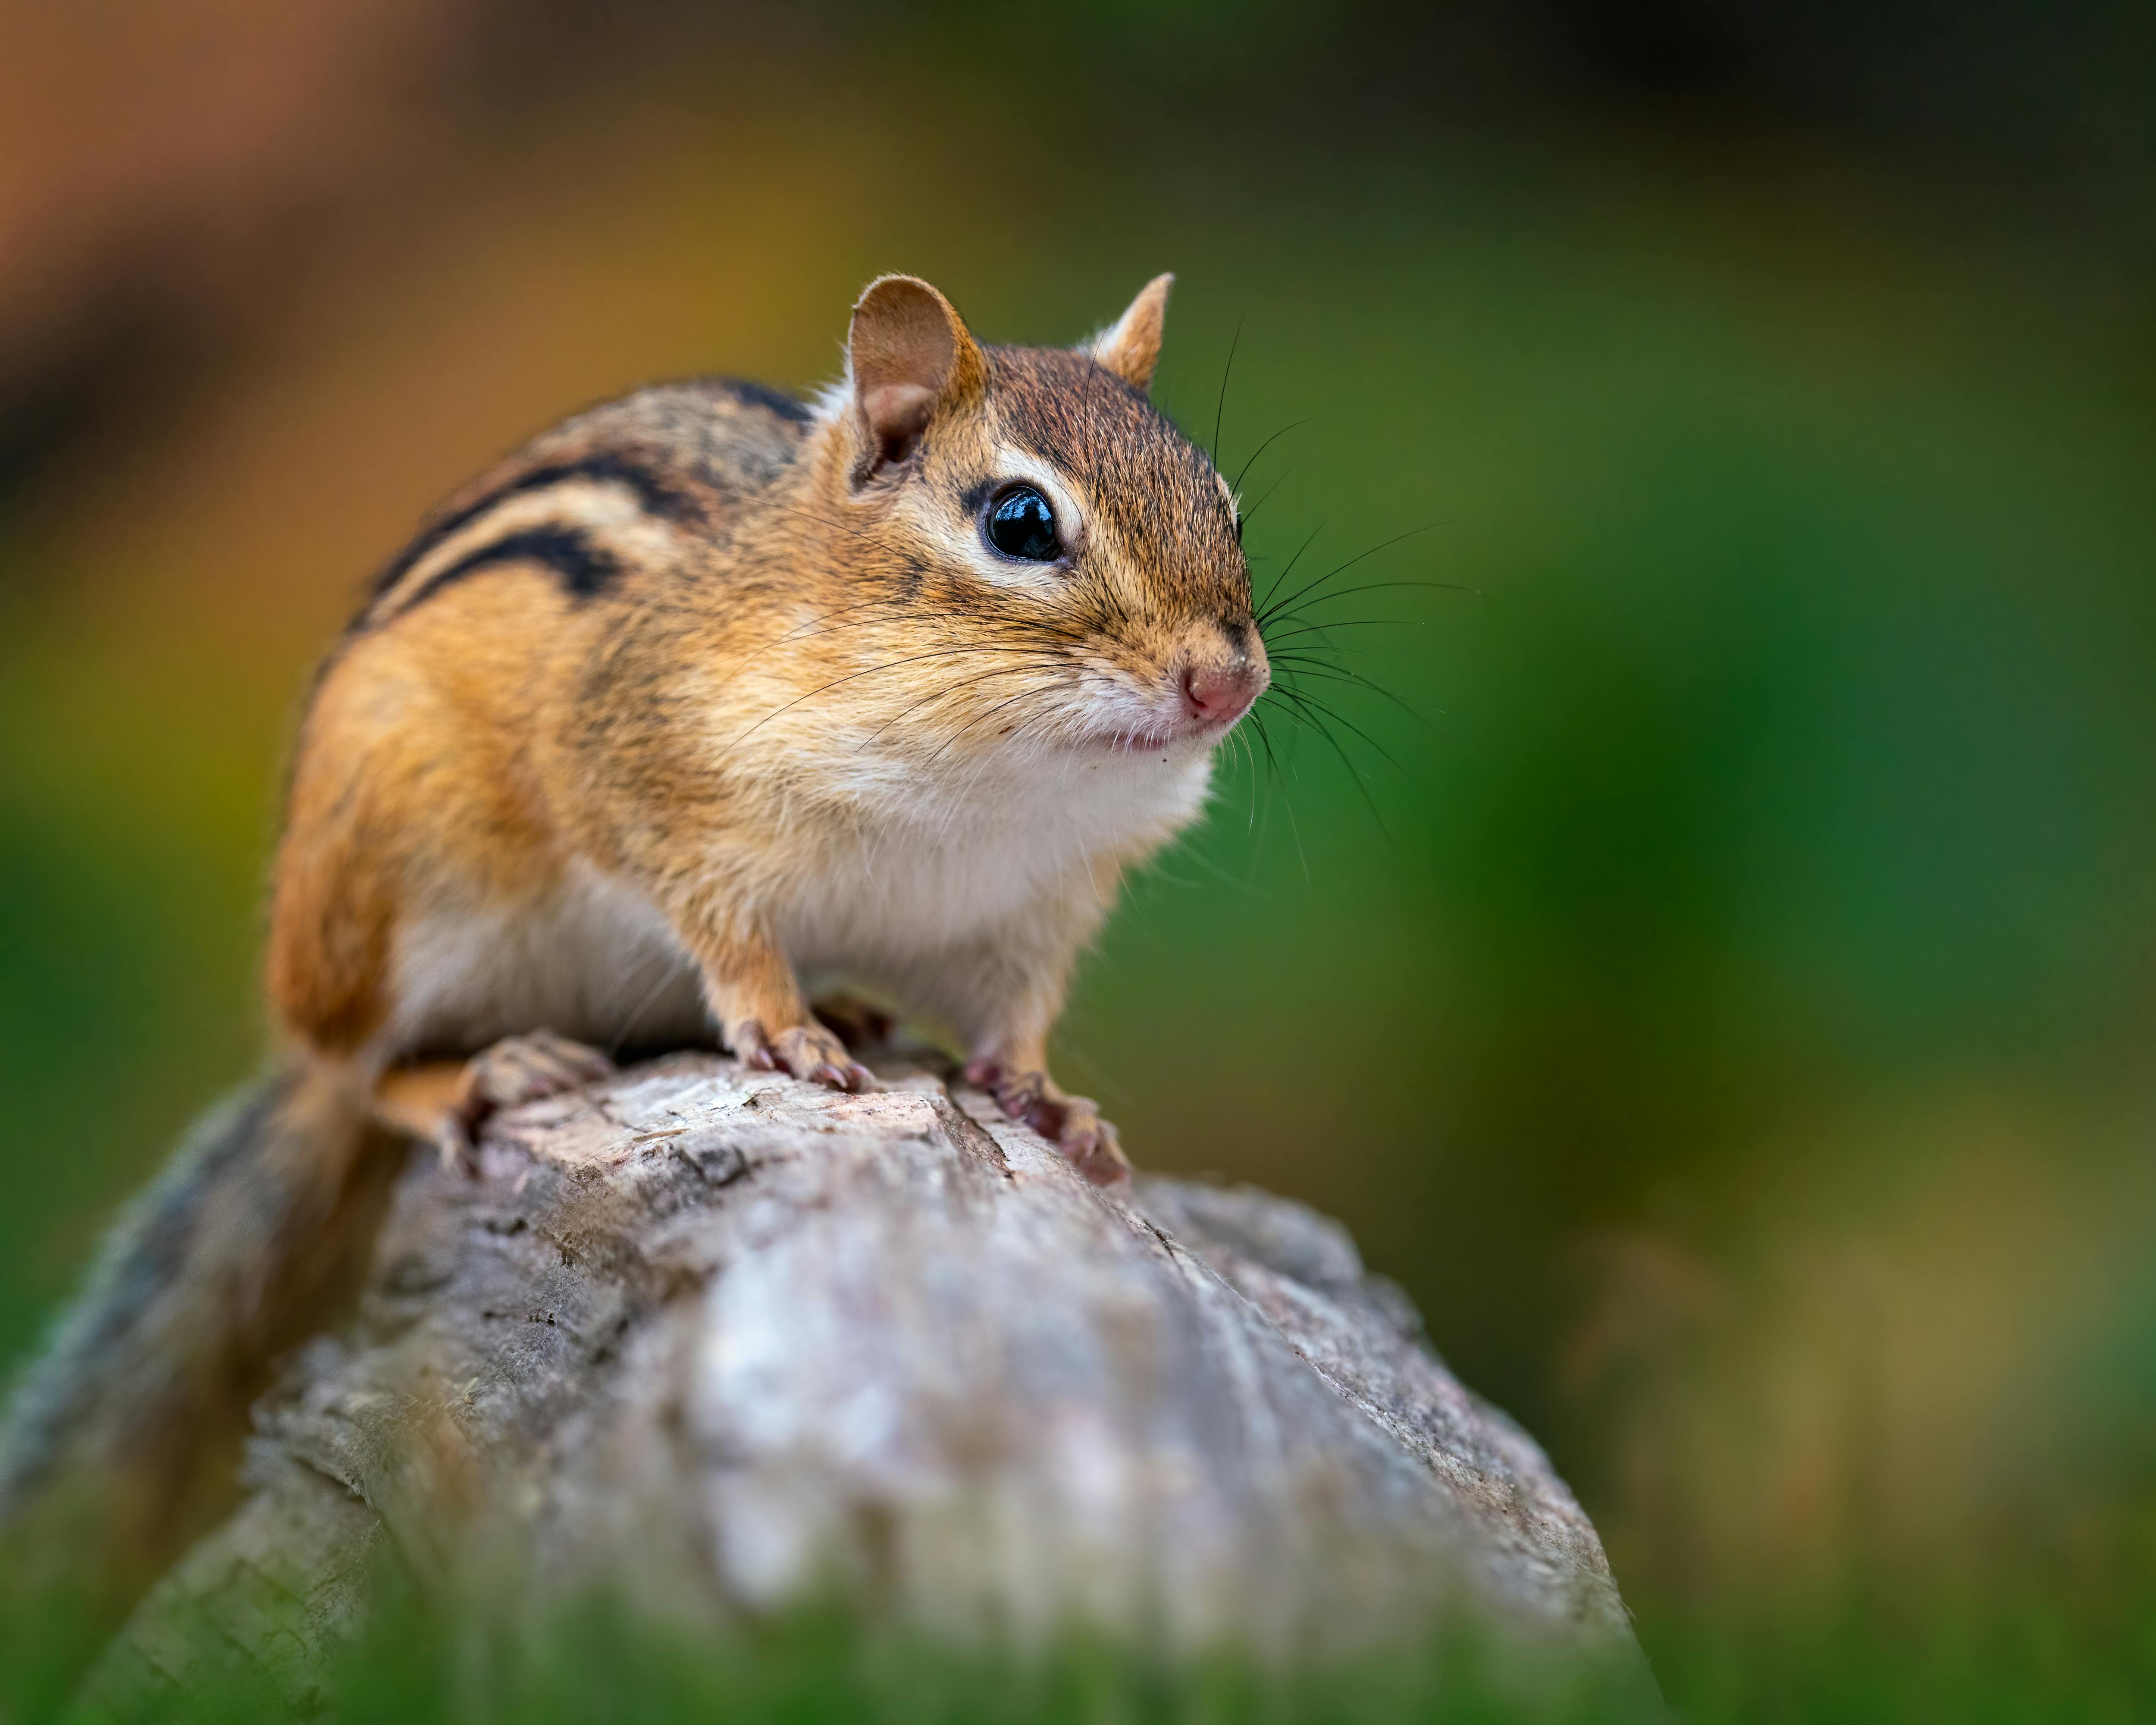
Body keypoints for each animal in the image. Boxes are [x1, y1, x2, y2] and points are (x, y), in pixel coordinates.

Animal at [0, 273, 1267, 1664]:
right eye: (1022, 521)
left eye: (1228, 506)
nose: (1227, 682)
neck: (992, 770)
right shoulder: (644, 785)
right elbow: (721, 929)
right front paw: (783, 1028)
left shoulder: (1035, 905)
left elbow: (1019, 1016)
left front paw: (1047, 1100)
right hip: (384, 877)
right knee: (349, 1061)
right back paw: (480, 1073)